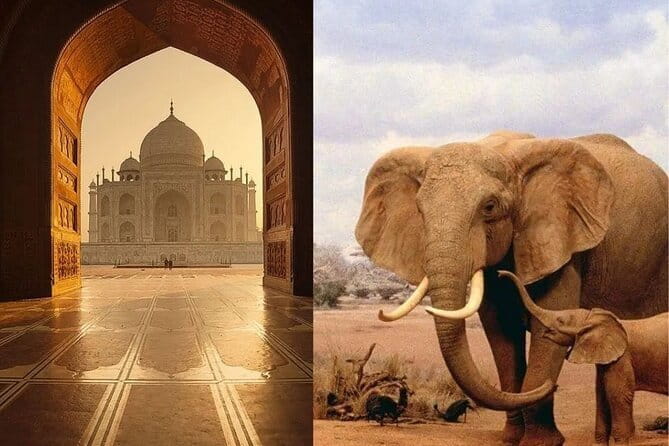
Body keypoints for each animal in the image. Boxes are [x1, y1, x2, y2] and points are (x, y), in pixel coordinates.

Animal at [501, 269, 668, 445]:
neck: (593, 318)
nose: (500, 274)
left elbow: (619, 395)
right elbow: (601, 396)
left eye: (561, 320)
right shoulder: (605, 360)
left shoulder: (622, 358)